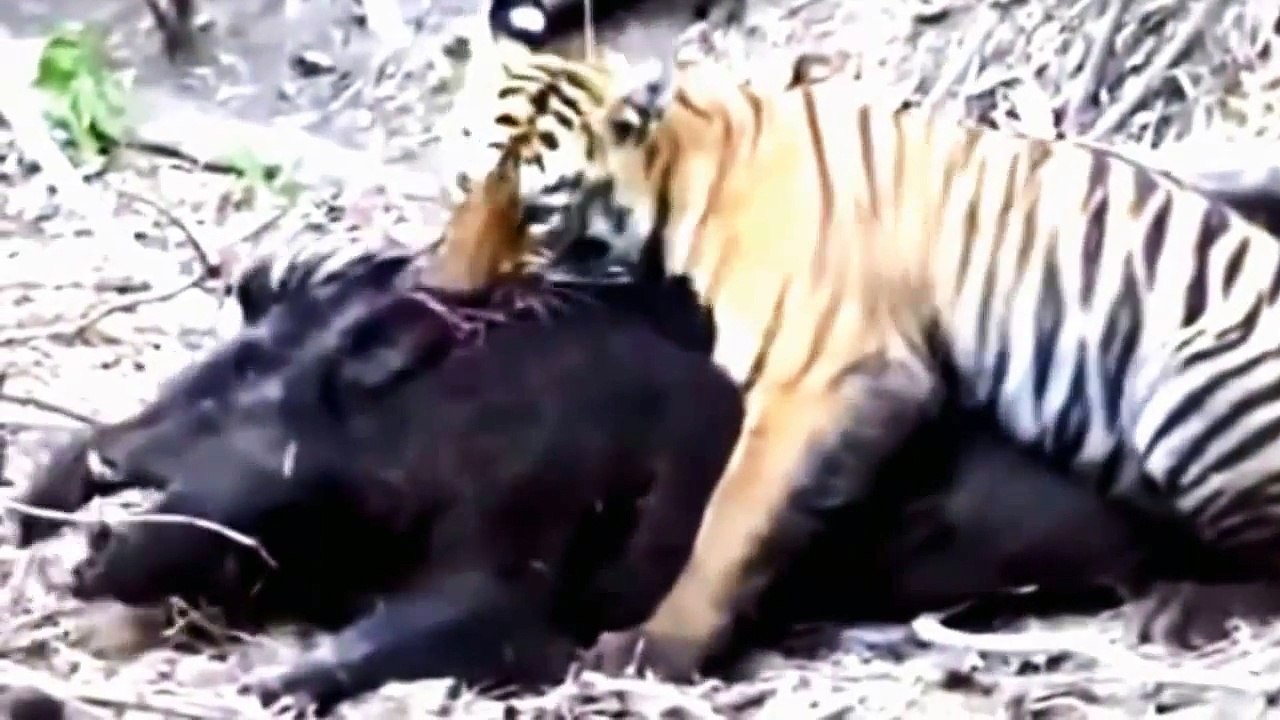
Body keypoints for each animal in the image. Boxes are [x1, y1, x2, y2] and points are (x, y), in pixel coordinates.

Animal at [439, 35, 1280, 679]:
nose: (449, 291)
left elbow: (728, 524)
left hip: (1187, 392)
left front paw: (655, 647)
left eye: (539, 208)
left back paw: (1187, 606)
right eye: (464, 179)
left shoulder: (824, 374)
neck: (680, 169)